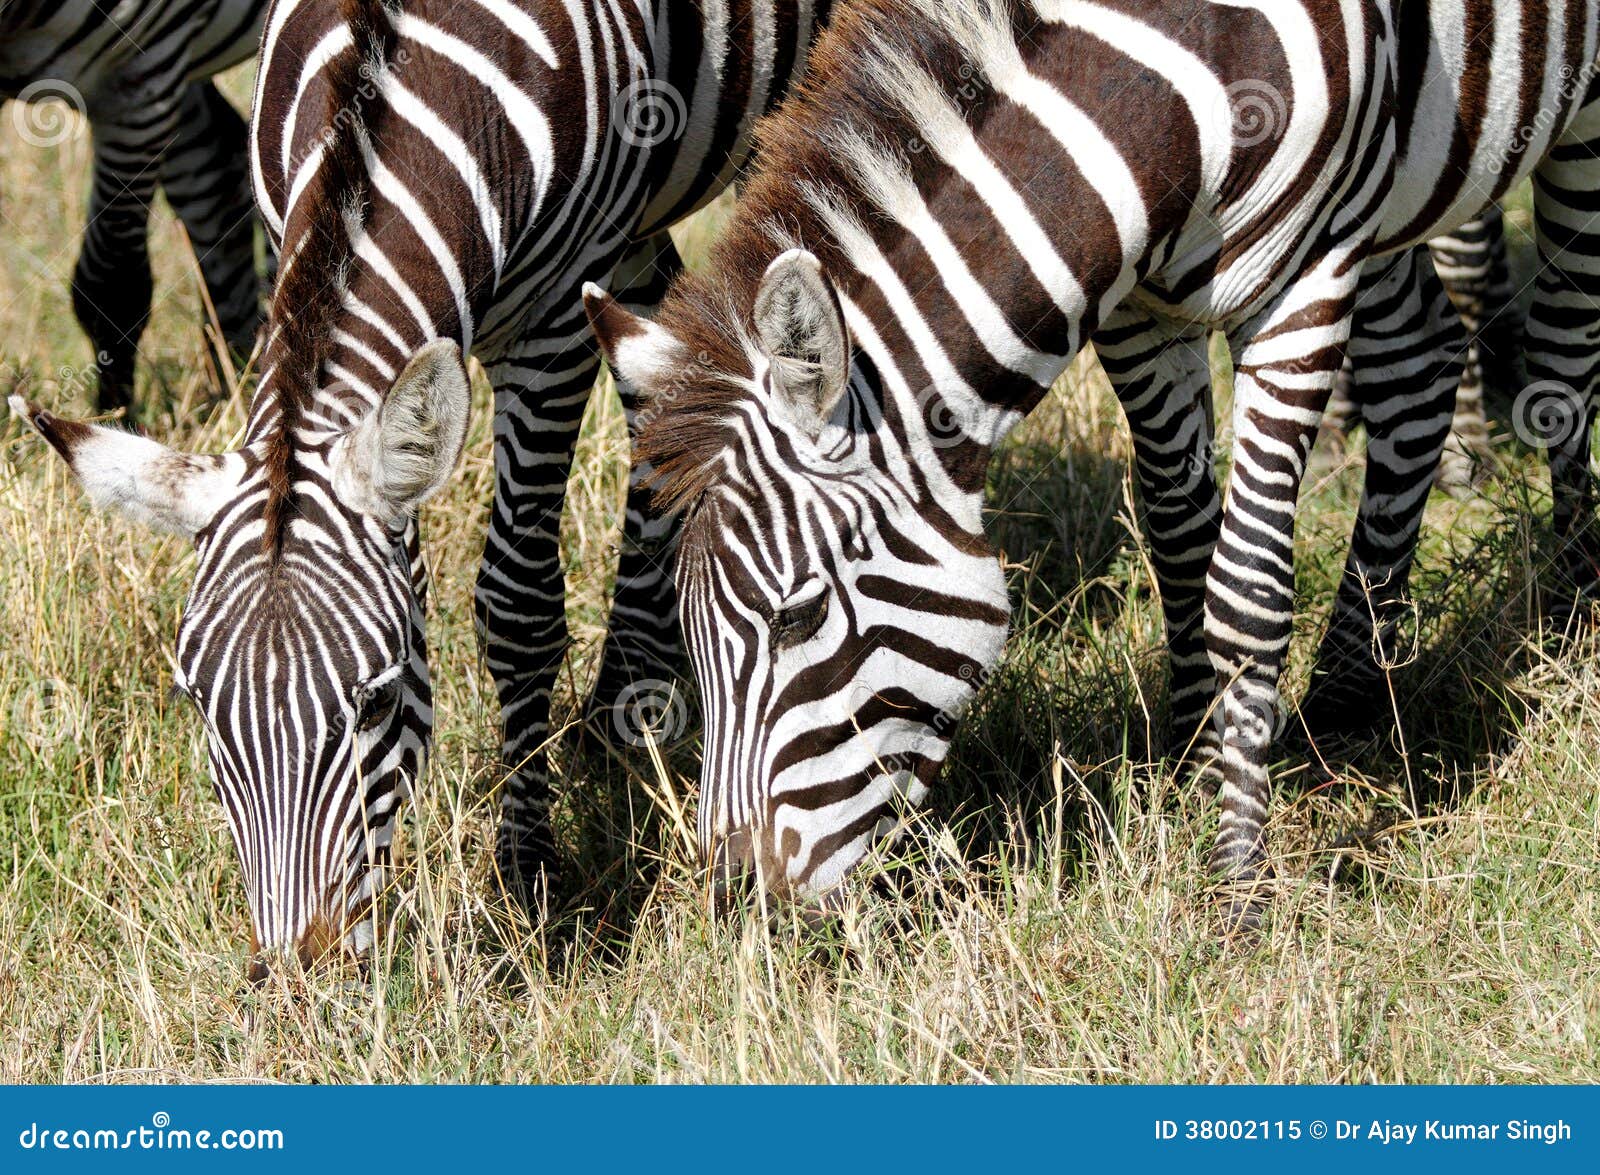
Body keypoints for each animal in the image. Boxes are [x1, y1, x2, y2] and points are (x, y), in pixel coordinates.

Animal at [588, 0, 1600, 929]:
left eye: (795, 616)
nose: (733, 904)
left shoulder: (1301, 285)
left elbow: (1246, 589)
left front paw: (1239, 886)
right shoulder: (1137, 305)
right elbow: (1179, 539)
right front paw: (1195, 764)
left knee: (1563, 352)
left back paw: (1571, 625)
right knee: (1418, 362)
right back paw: (1353, 691)